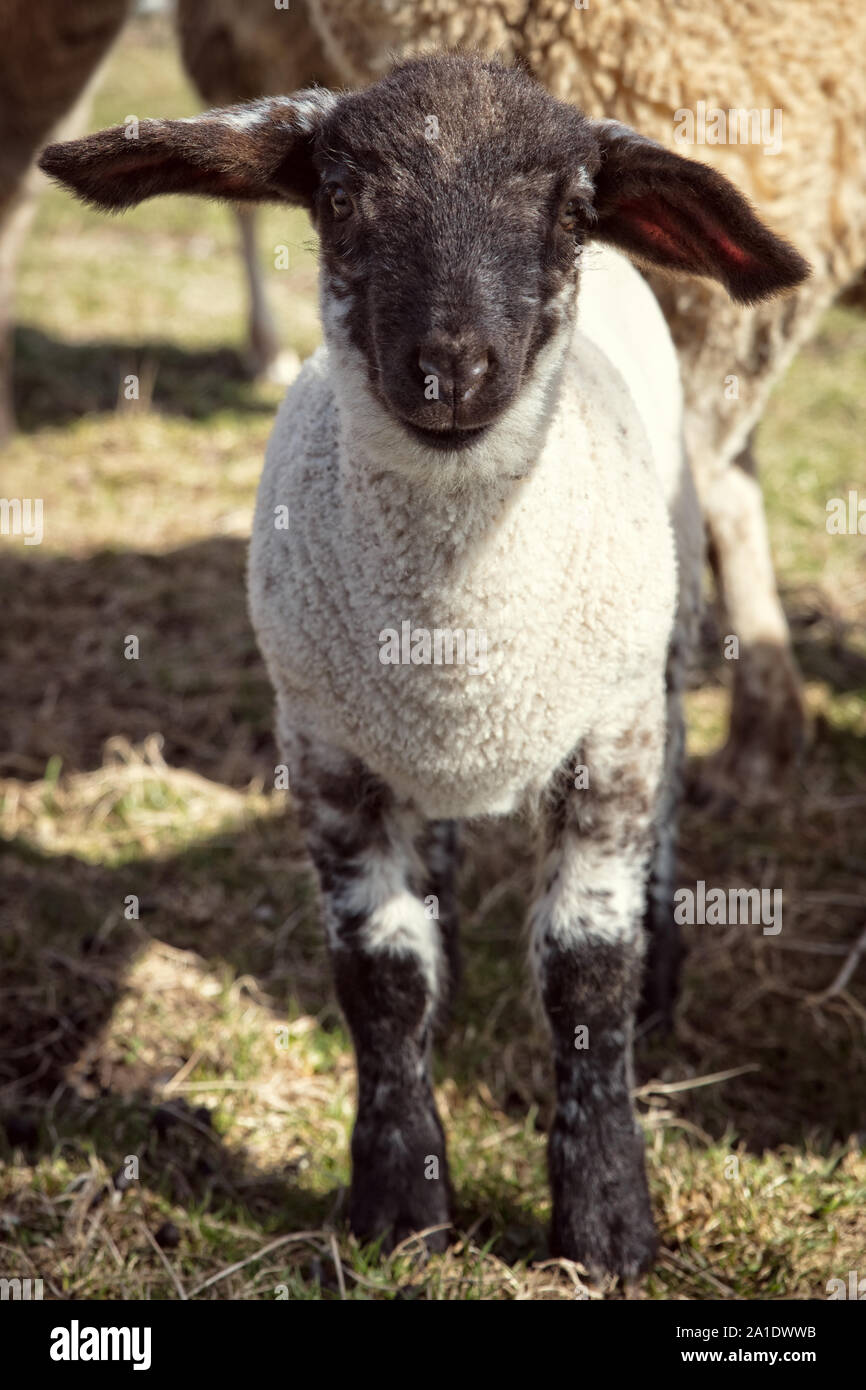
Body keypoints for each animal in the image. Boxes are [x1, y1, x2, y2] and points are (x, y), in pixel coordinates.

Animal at [39, 52, 808, 1277]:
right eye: (341, 196)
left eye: (573, 211)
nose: (450, 367)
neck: (455, 632)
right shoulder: (323, 747)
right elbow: (380, 977)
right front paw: (400, 1204)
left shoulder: (608, 738)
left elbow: (584, 969)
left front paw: (603, 1220)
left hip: (669, 628)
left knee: (677, 770)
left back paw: (663, 964)